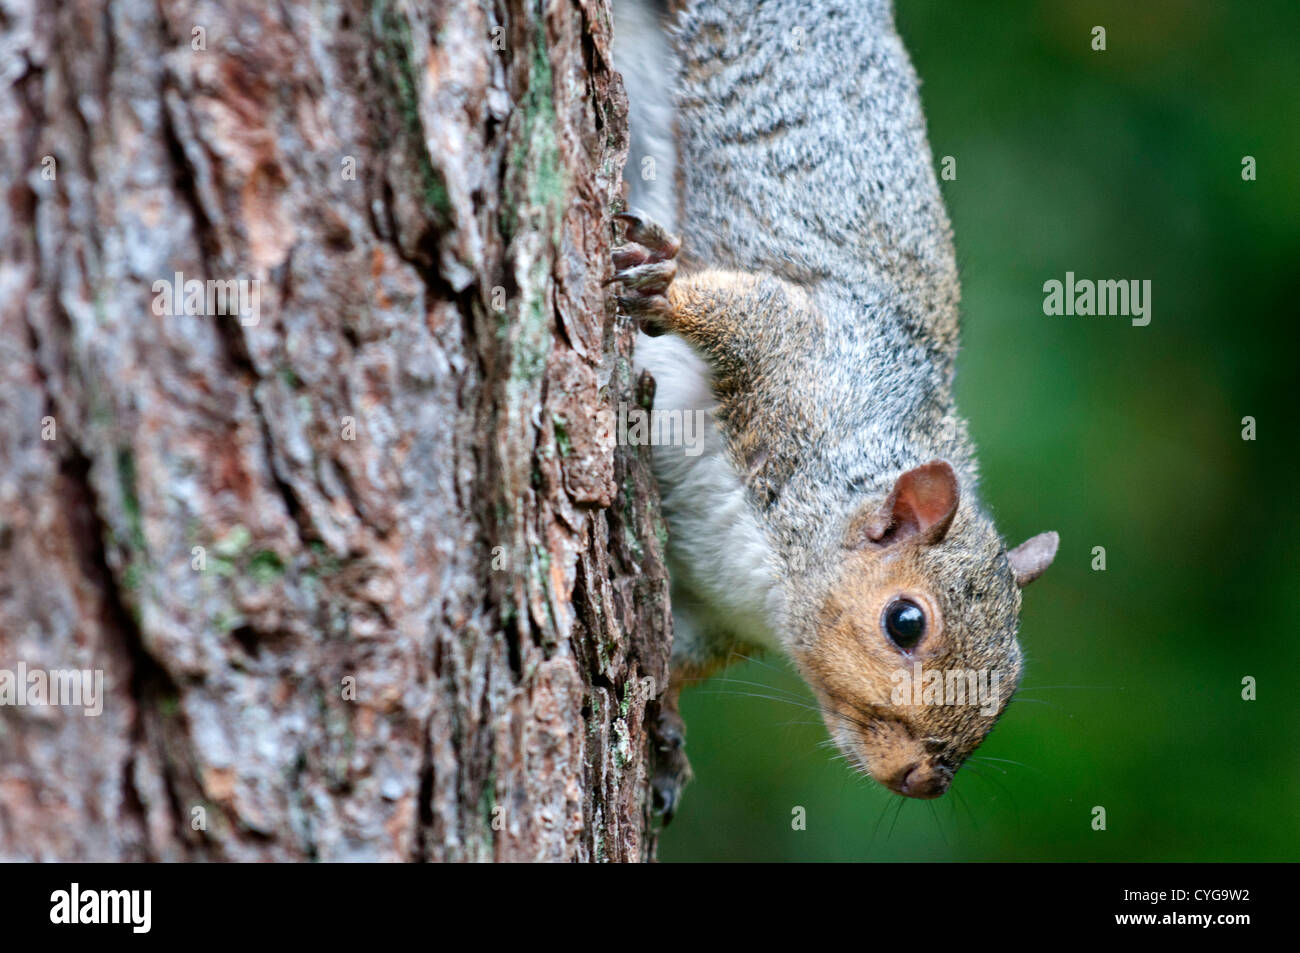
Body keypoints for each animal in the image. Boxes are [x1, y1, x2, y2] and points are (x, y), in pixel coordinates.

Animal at [611, 0, 1059, 822]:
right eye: (905, 622)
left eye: (1012, 679)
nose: (926, 779)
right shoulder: (807, 362)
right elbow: (750, 307)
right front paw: (662, 285)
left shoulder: (714, 615)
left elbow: (670, 655)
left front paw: (666, 734)